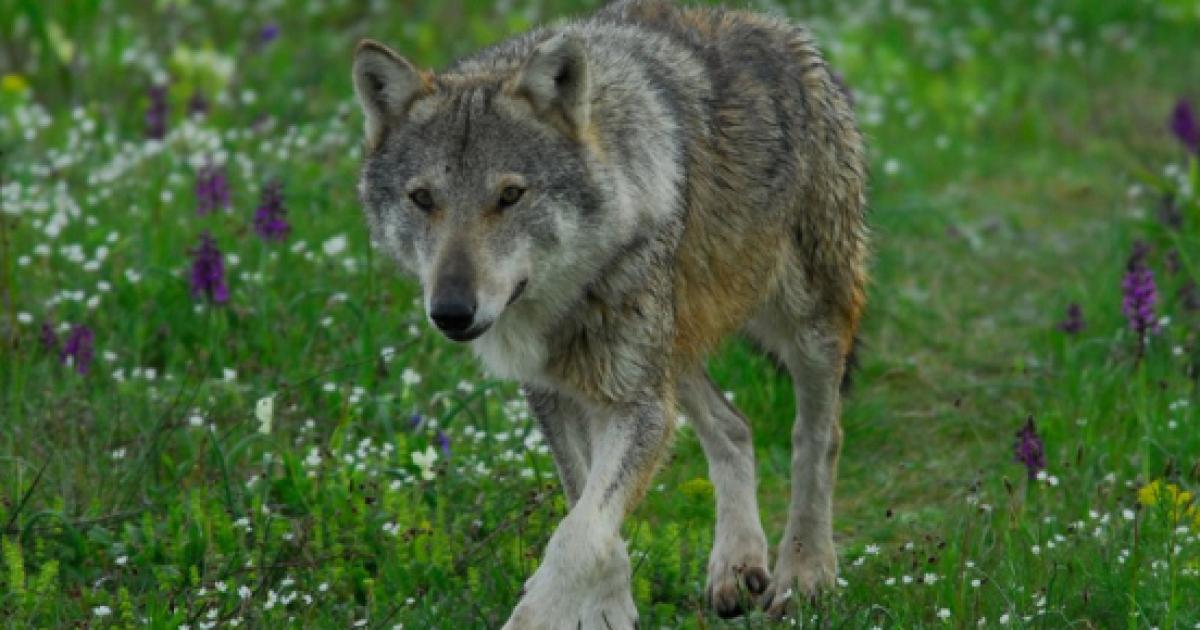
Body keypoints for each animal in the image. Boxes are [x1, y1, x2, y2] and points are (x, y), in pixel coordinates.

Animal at [352, 0, 867, 626]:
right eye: (423, 199)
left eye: (510, 195)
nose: (450, 311)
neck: (565, 298)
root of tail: (773, 25)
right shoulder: (559, 395)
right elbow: (590, 518)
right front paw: (607, 609)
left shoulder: (635, 403)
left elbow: (576, 538)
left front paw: (540, 615)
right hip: (671, 354)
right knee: (734, 428)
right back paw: (736, 563)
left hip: (804, 328)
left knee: (818, 438)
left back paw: (805, 573)